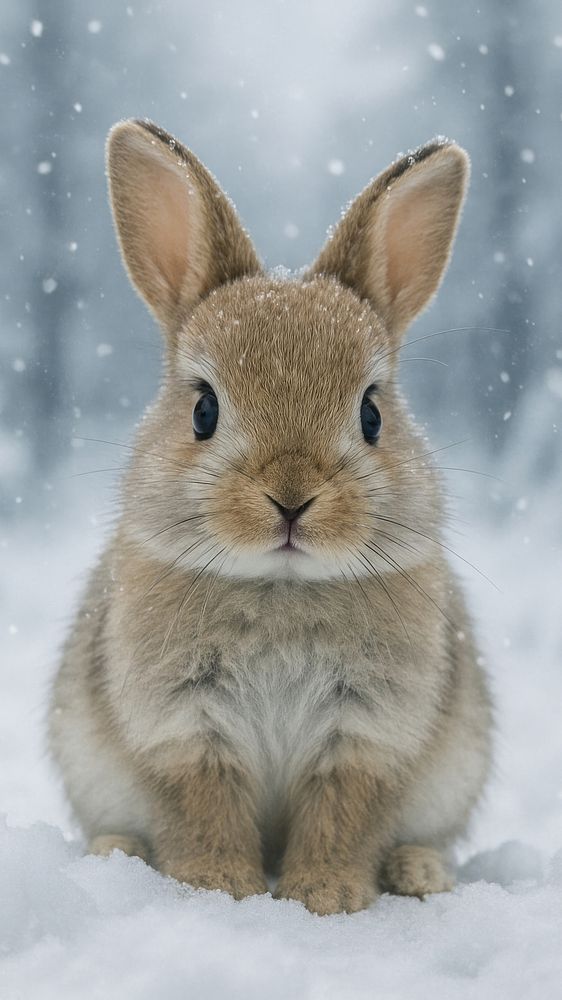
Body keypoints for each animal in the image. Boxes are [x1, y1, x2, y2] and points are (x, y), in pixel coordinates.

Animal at [49, 118, 492, 916]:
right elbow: (207, 808)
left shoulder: (366, 736)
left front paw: (325, 897)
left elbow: (340, 815)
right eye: (204, 410)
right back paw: (114, 852)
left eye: (372, 414)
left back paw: (419, 873)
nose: (291, 499)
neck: (282, 586)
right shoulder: (186, 730)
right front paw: (221, 888)